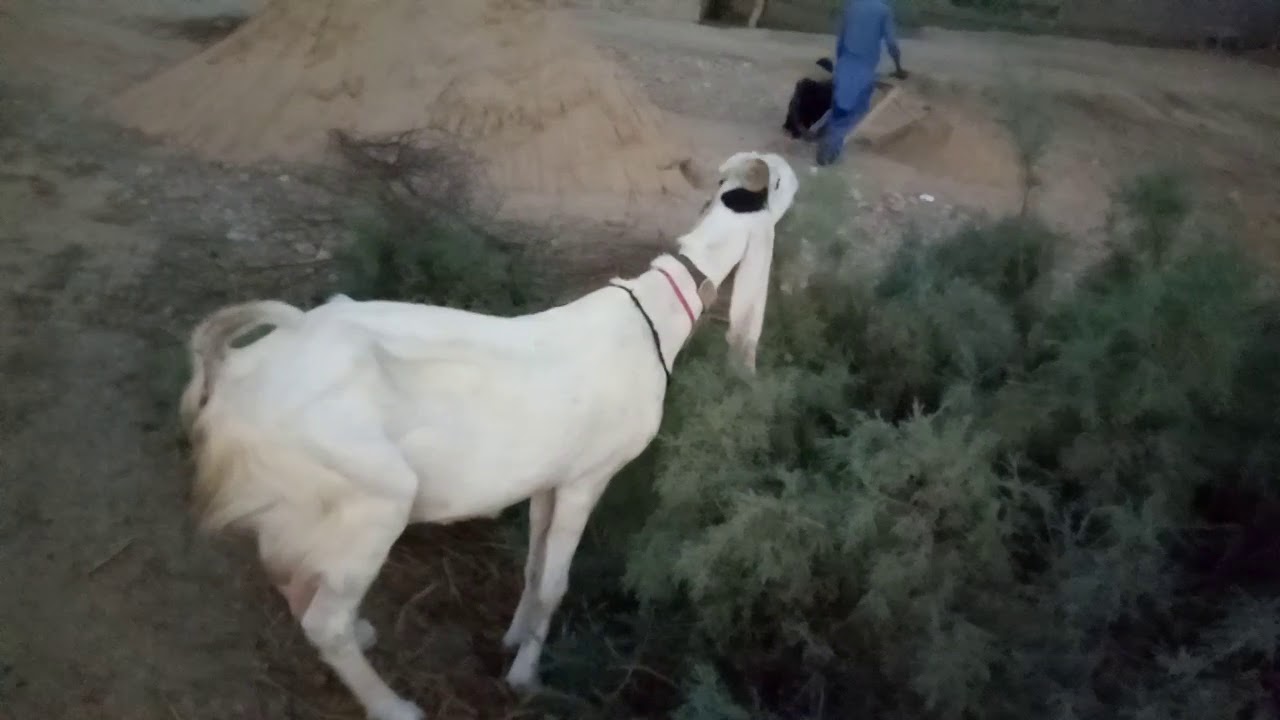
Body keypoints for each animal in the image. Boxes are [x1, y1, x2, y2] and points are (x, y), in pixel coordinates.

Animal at [177, 151, 800, 720]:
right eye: (779, 182)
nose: (801, 181)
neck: (652, 316)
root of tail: (232, 373)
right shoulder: (589, 475)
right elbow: (555, 583)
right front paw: (525, 677)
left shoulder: (549, 479)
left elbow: (533, 566)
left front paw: (514, 640)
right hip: (372, 497)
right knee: (323, 621)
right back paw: (393, 705)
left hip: (306, 506)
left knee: (296, 580)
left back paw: (362, 630)